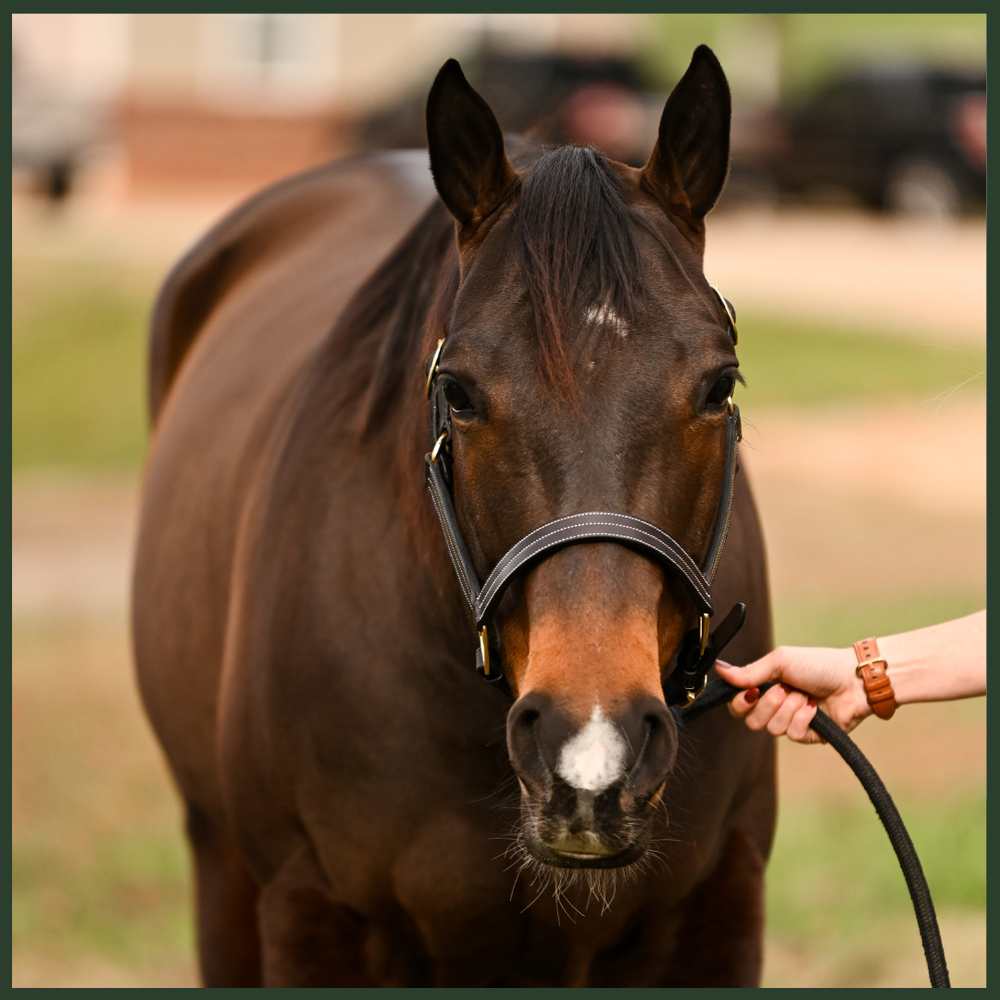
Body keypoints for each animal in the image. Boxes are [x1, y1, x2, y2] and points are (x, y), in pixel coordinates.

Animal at [133, 46, 776, 987]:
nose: (593, 750)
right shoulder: (309, 910)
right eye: (460, 393)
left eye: (719, 385)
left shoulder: (718, 909)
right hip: (220, 860)